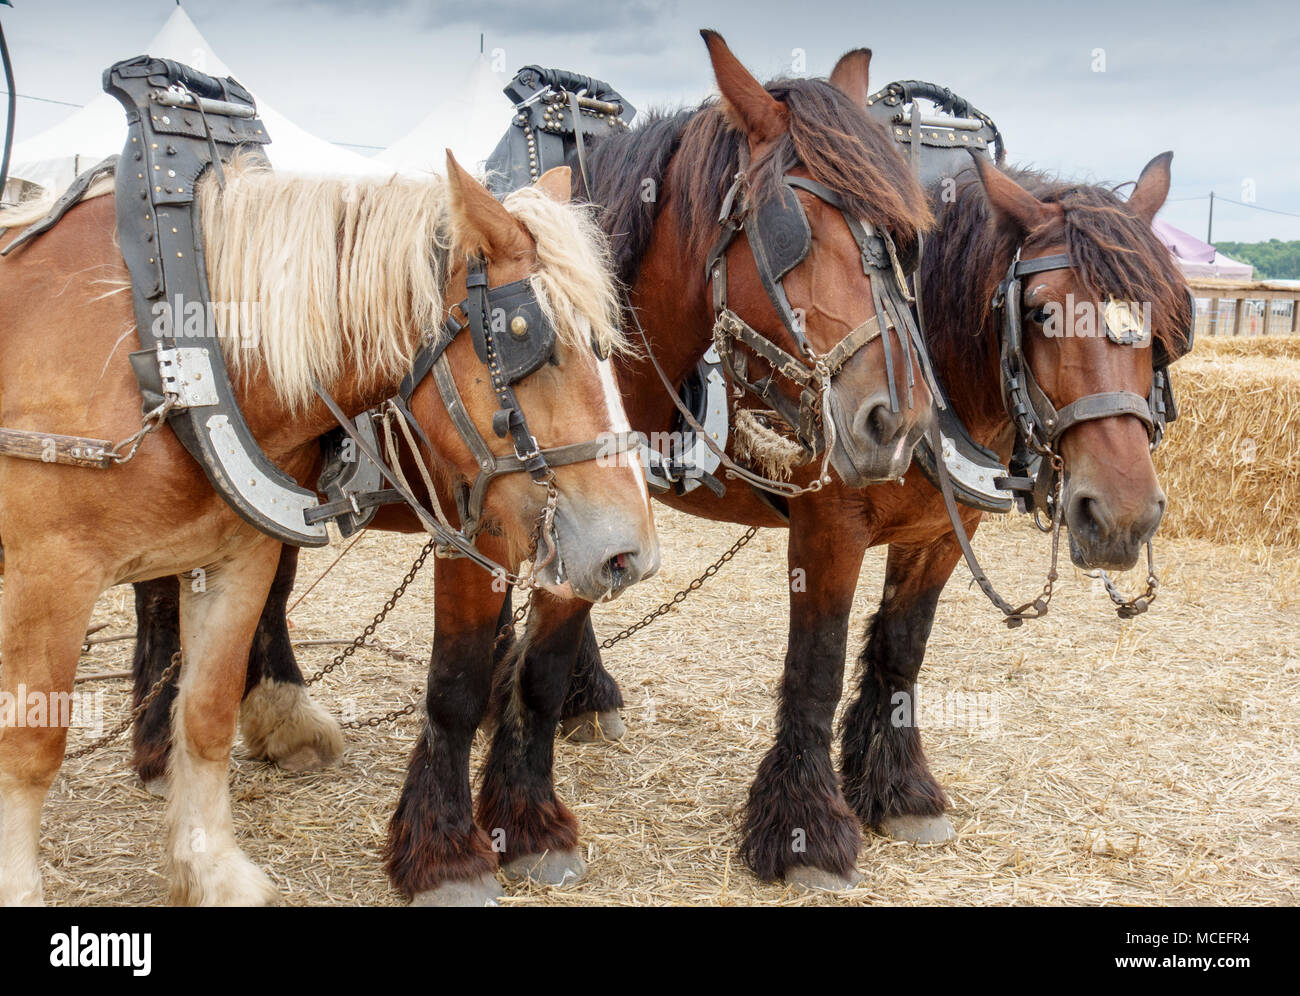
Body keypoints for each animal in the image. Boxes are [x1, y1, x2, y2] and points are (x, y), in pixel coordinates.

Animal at [0, 149, 658, 906]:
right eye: (527, 339)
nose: (632, 552)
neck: (174, 351)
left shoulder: (236, 559)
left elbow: (208, 715)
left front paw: (212, 871)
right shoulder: (51, 574)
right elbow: (30, 746)